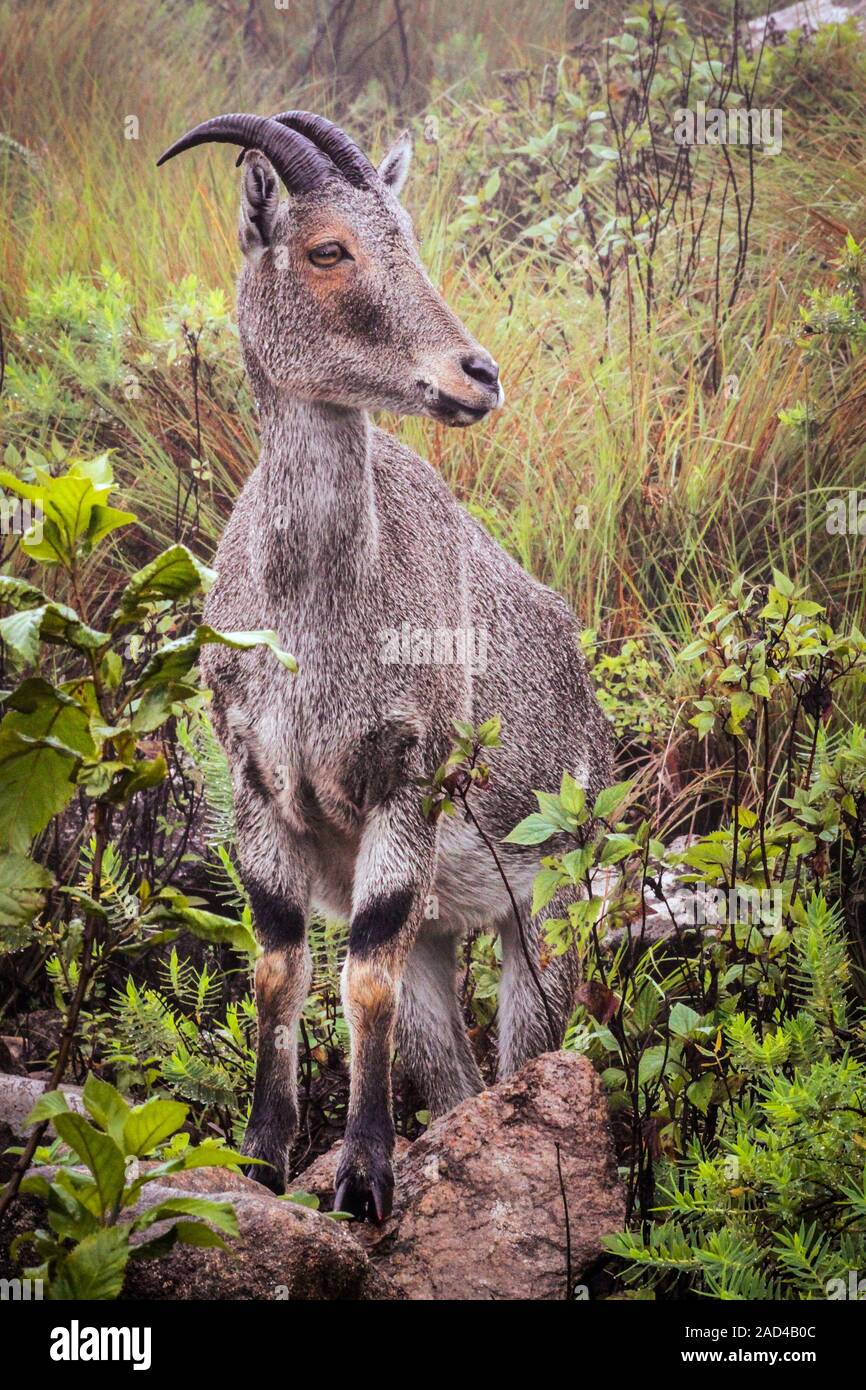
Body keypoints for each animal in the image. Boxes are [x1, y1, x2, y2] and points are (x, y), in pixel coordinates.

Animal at [157, 111, 613, 1221]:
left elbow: (361, 970)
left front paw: (363, 1176)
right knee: (450, 1068)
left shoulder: (409, 776)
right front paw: (261, 1155)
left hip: (552, 901)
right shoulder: (257, 784)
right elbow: (280, 965)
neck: (313, 629)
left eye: (406, 235)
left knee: (520, 1053)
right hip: (447, 932)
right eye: (329, 249)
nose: (475, 375)